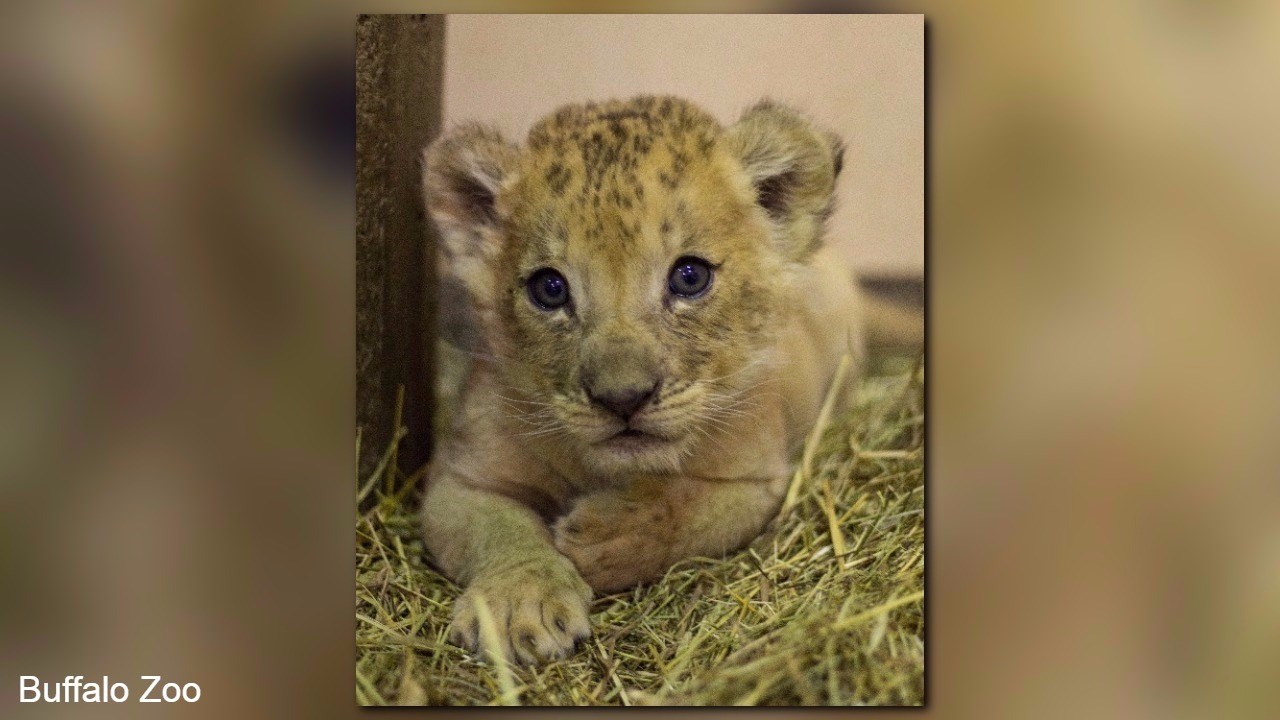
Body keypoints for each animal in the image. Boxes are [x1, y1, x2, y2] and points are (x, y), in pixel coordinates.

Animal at [421, 96, 878, 665]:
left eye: (690, 277)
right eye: (550, 289)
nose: (623, 399)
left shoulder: (757, 481)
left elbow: (686, 508)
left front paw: (604, 536)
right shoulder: (459, 480)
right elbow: (500, 531)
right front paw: (519, 602)